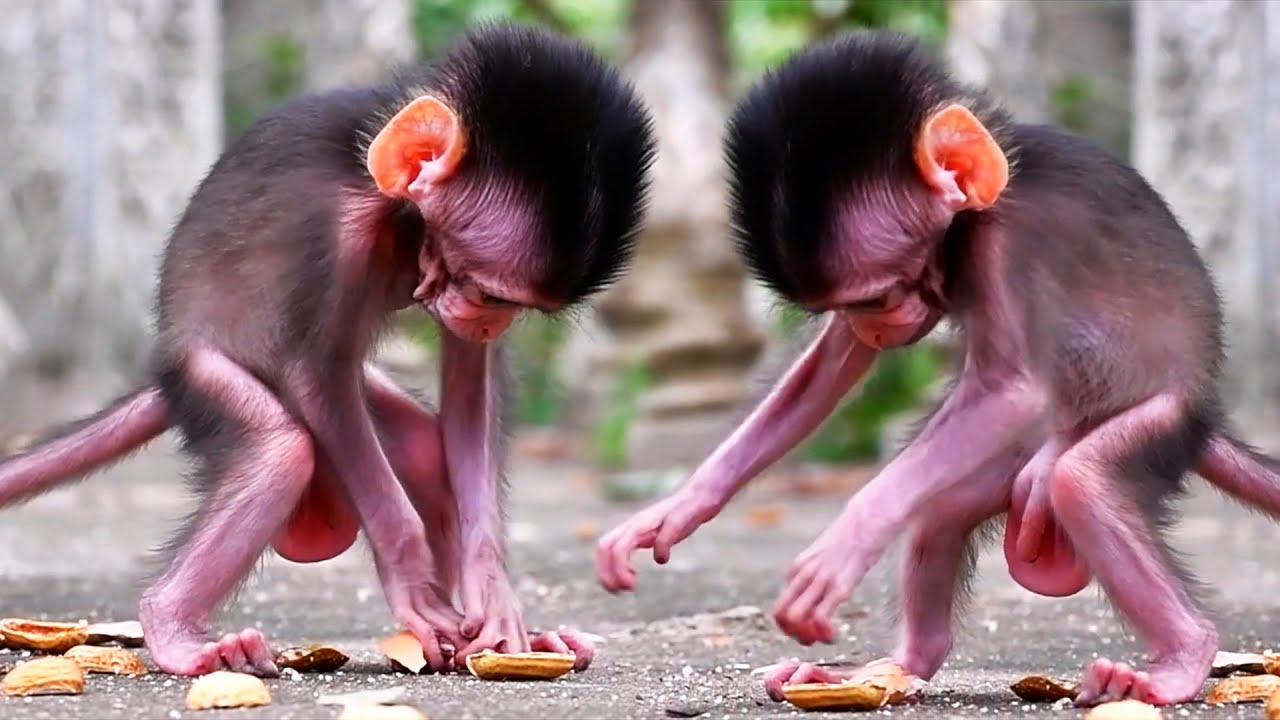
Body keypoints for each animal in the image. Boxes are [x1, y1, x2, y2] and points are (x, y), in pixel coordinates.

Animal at [0, 22, 656, 678]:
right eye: (490, 293)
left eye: (511, 305)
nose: (493, 322)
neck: (395, 215)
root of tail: (165, 368)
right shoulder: (337, 233)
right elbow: (317, 377)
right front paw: (412, 581)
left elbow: (470, 391)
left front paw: (491, 596)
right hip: (199, 373)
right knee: (280, 450)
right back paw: (175, 629)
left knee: (422, 448)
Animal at [595, 29, 1280, 707]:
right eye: (850, 307)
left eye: (877, 296)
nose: (872, 325)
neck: (972, 219)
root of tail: (1204, 414)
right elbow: (829, 368)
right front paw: (677, 508)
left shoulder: (1002, 246)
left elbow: (1010, 392)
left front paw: (846, 542)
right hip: (1010, 459)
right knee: (942, 508)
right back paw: (903, 662)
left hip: (1158, 424)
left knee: (1080, 481)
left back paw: (1182, 657)